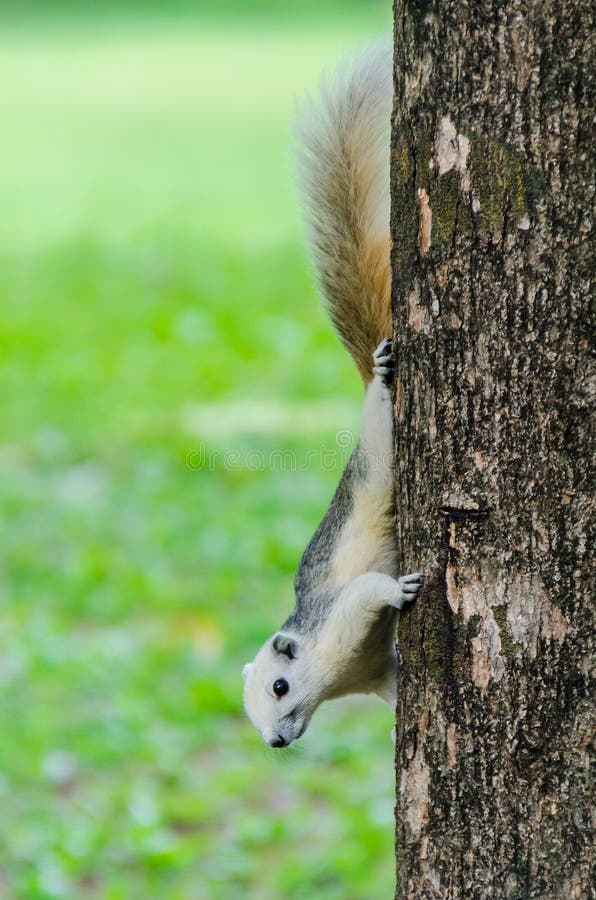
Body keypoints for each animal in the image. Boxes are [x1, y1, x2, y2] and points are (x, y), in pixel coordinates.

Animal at [242, 43, 423, 749]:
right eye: (253, 714)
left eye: (280, 686)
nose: (276, 742)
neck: (333, 673)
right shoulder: (372, 674)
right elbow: (393, 685)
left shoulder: (343, 620)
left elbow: (370, 591)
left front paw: (402, 592)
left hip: (380, 441)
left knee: (378, 409)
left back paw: (383, 369)